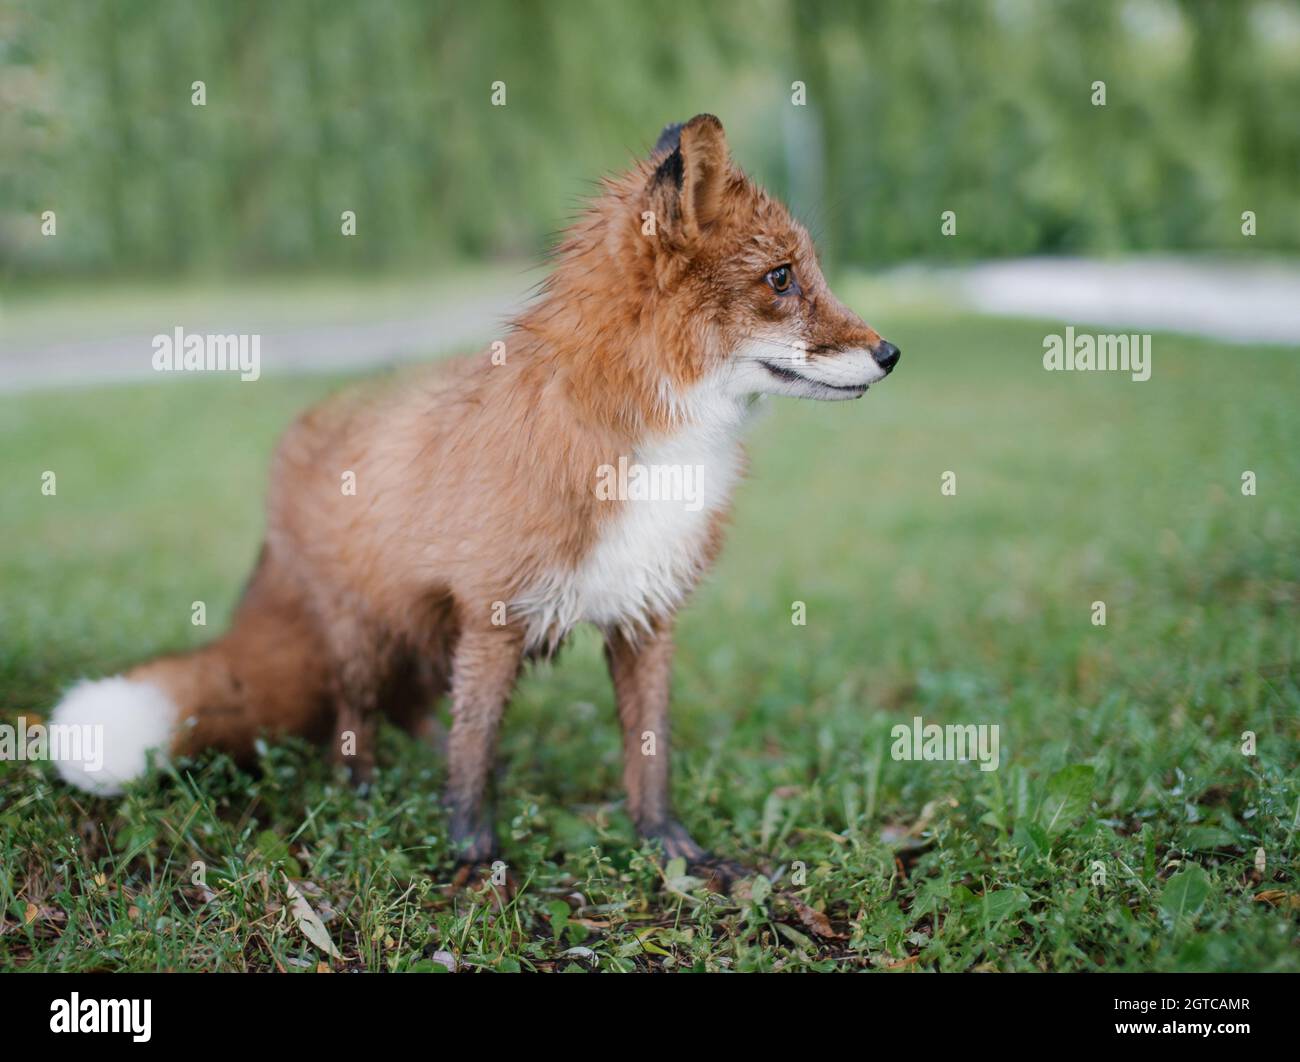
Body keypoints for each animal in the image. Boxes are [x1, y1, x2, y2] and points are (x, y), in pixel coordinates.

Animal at [50, 114, 900, 880]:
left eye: (804, 272)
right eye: (781, 278)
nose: (891, 353)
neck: (649, 448)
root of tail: (301, 433)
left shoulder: (646, 616)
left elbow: (648, 761)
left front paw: (675, 854)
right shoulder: (493, 613)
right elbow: (477, 756)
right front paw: (470, 860)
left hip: (428, 637)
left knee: (418, 710)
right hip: (368, 633)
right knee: (355, 720)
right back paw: (364, 793)